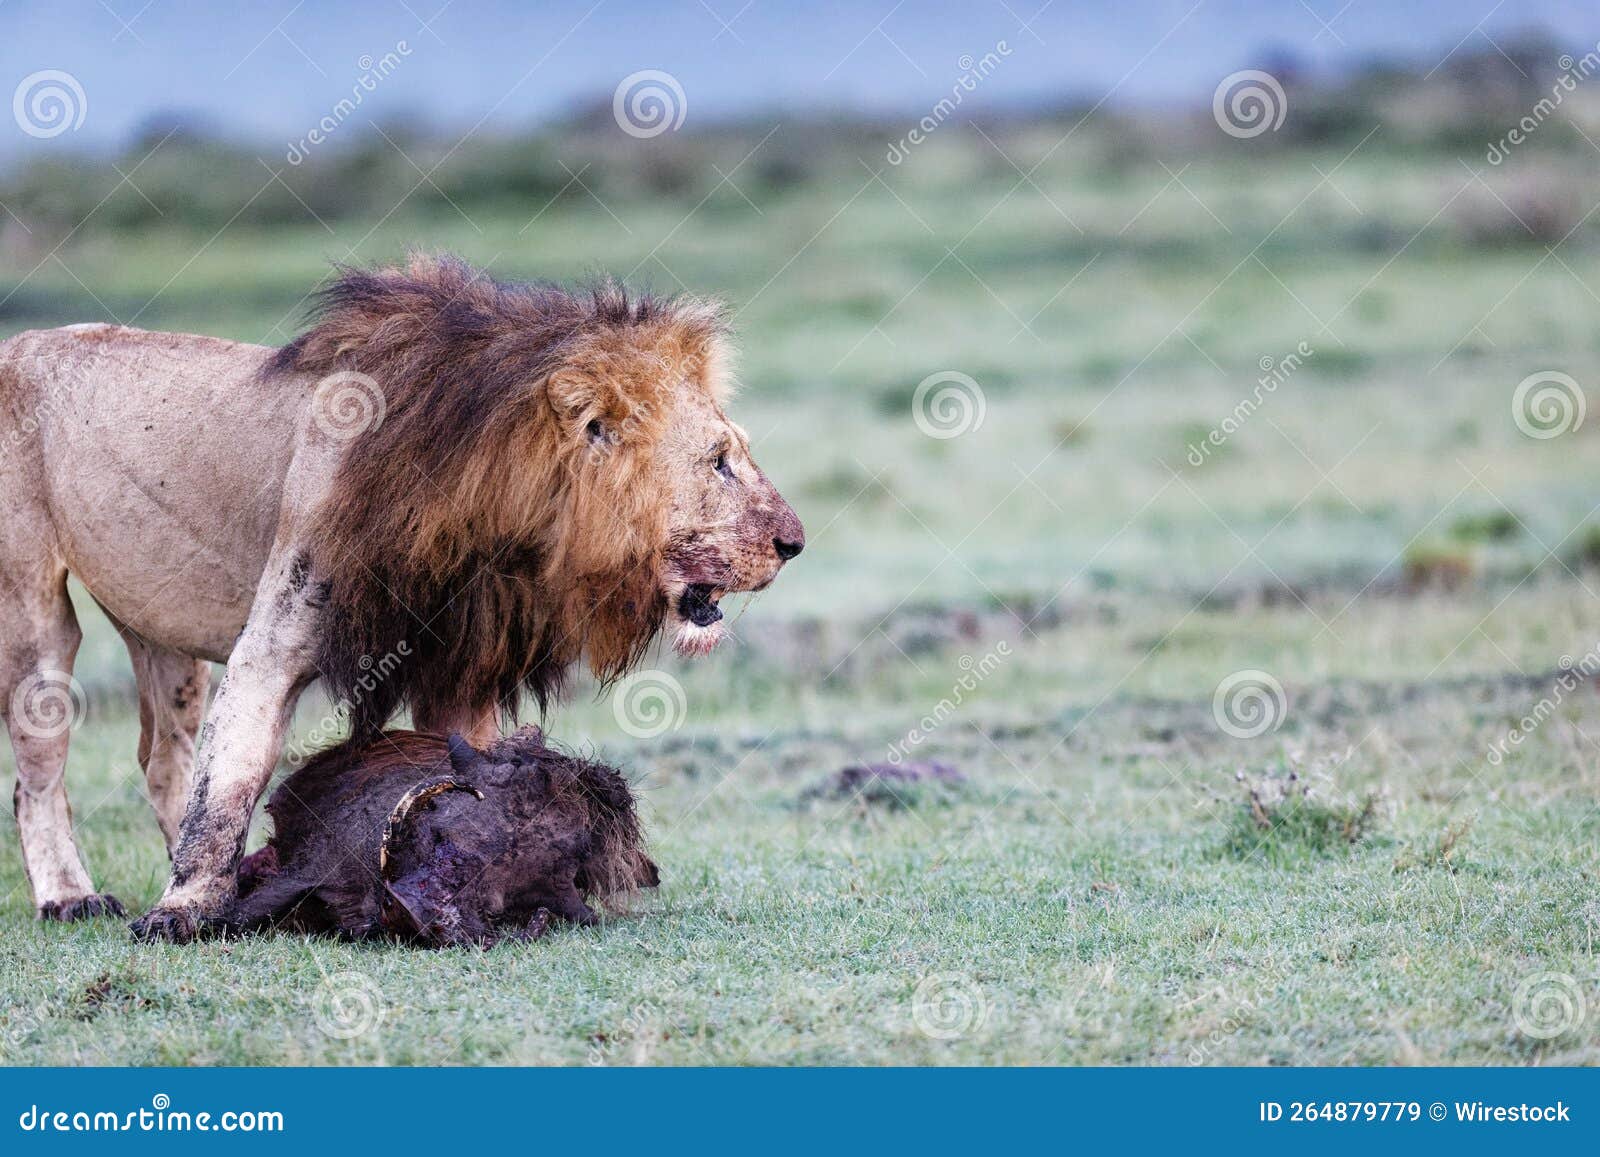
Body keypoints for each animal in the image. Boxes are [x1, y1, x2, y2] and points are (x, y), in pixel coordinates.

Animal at [0, 255, 803, 939]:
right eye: (719, 461)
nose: (794, 542)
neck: (502, 508)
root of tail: (18, 343)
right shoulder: (275, 639)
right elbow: (227, 779)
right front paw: (183, 911)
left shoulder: (460, 661)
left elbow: (463, 755)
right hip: (33, 613)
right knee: (39, 771)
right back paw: (71, 897)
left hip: (158, 633)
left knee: (163, 756)